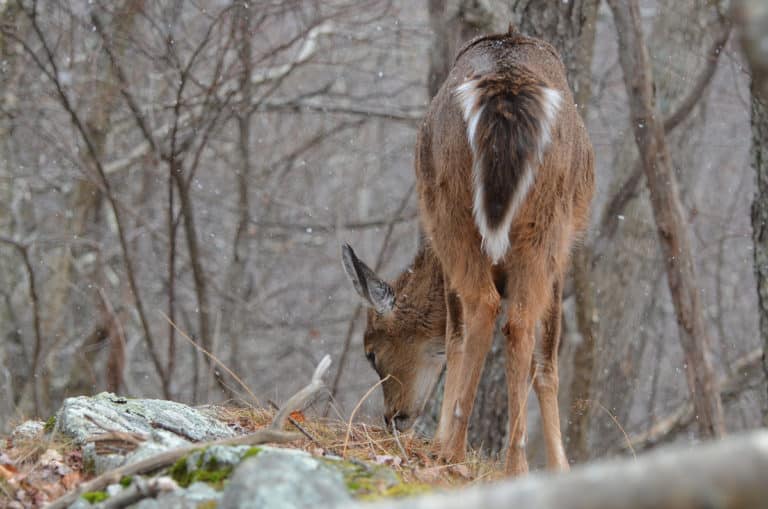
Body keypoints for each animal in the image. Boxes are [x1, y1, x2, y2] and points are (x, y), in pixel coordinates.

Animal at [342, 26, 594, 475]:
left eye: (370, 352)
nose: (393, 418)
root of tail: (504, 91)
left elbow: (457, 336)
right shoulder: (562, 257)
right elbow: (544, 361)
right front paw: (561, 466)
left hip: (457, 213)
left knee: (488, 310)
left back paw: (465, 453)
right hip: (542, 223)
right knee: (513, 321)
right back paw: (502, 461)